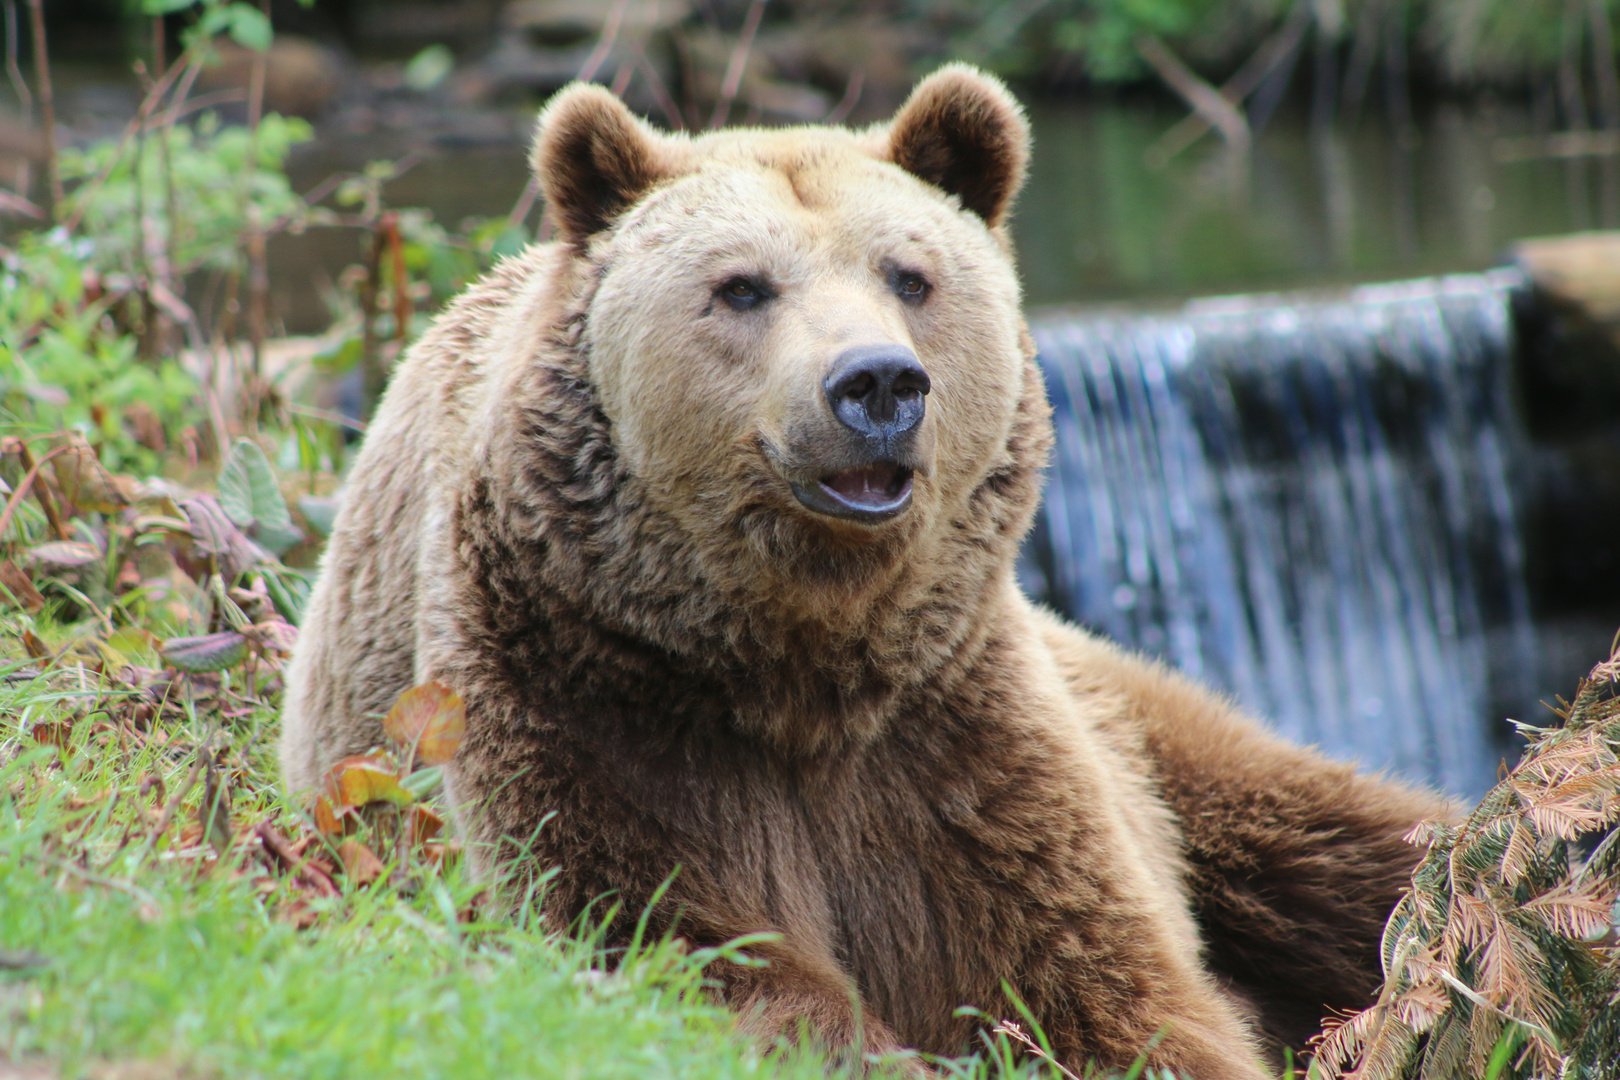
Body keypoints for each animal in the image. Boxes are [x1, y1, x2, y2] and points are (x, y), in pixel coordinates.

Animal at [281, 65, 1448, 1077]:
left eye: (911, 275)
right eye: (740, 287)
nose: (878, 382)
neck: (797, 653)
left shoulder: (961, 744)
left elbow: (1108, 989)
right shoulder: (577, 691)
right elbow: (678, 939)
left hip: (1156, 740)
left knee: (1338, 835)